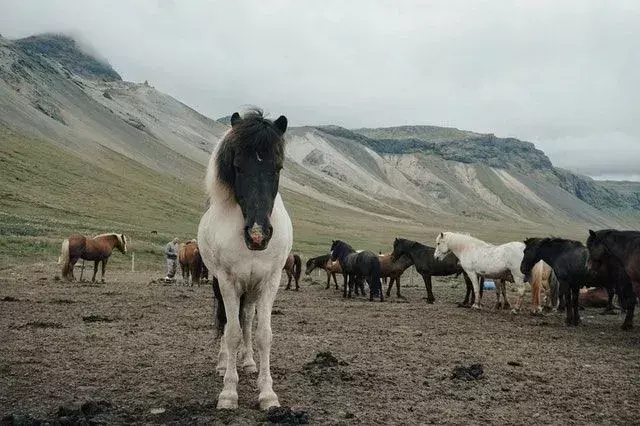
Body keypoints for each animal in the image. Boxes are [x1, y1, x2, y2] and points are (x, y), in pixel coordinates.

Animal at [198, 108, 292, 412]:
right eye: (238, 167)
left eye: (277, 168)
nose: (258, 234)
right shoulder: (227, 281)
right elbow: (231, 332)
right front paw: (229, 392)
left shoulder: (270, 281)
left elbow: (263, 334)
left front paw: (267, 393)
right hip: (221, 283)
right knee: (227, 321)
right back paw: (222, 364)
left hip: (251, 290)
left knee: (248, 319)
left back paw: (249, 362)